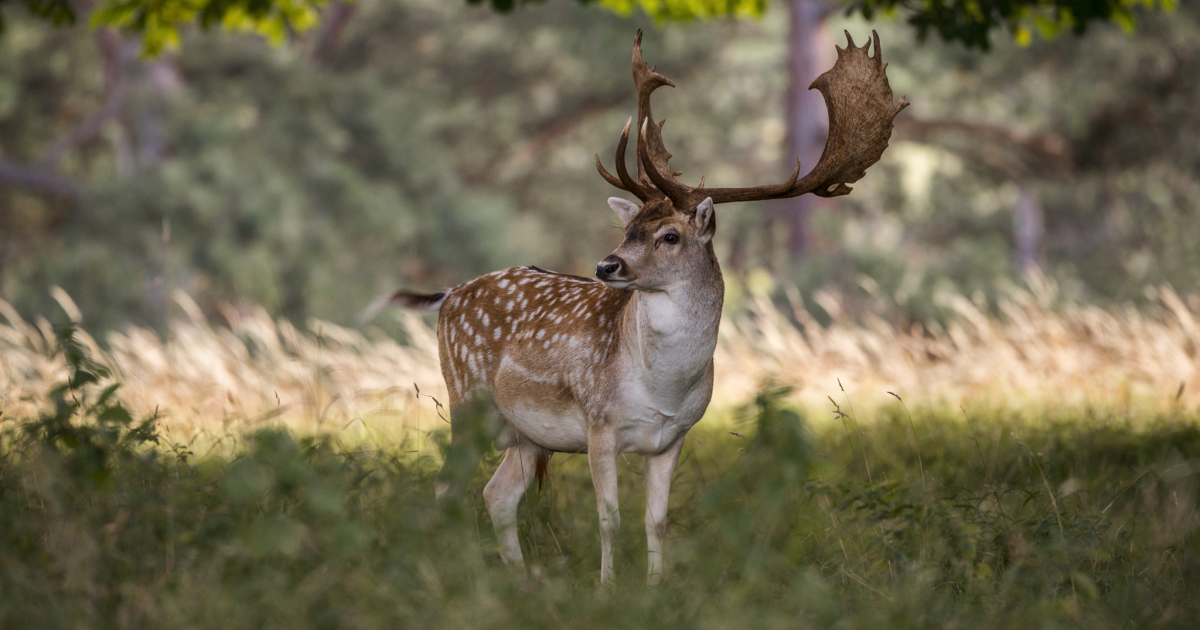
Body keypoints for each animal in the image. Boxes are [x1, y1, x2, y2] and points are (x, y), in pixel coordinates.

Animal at [376, 30, 907, 585]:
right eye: (627, 229)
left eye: (669, 235)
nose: (606, 265)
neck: (663, 388)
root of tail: (448, 295)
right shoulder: (599, 422)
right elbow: (608, 517)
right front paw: (607, 587)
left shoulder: (674, 437)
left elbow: (657, 519)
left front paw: (656, 586)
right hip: (466, 398)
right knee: (445, 484)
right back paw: (446, 570)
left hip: (526, 433)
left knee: (496, 493)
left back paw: (519, 578)